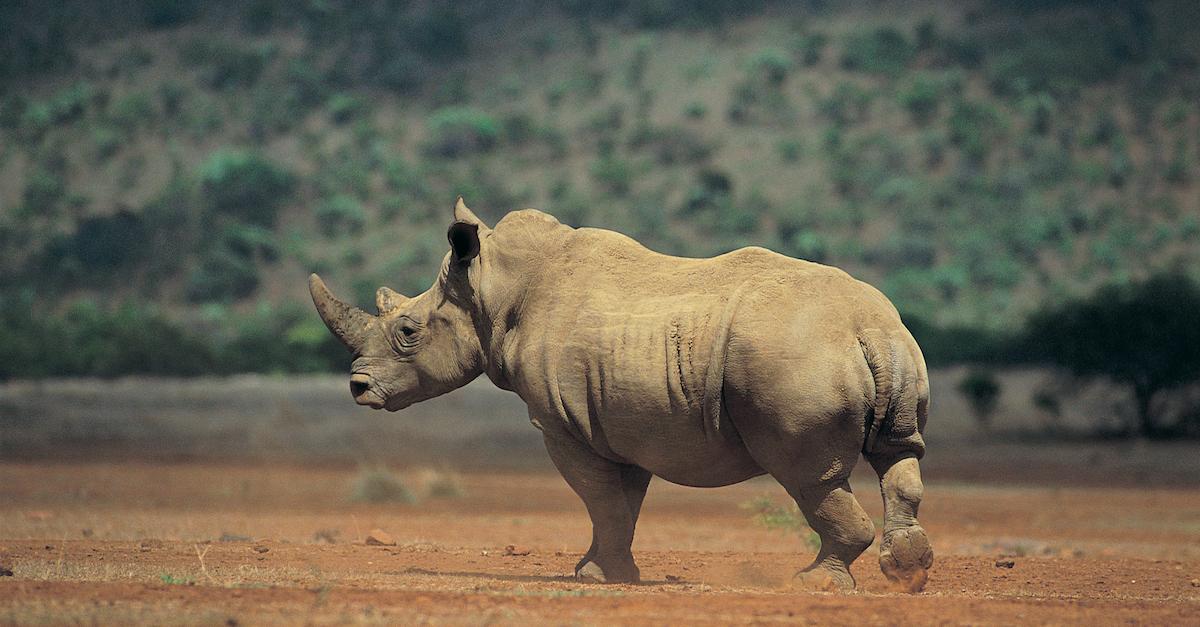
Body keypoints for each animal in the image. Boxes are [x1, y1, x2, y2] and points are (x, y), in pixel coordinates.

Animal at [309, 198, 933, 591]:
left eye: (407, 331)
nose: (359, 388)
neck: (492, 290)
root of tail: (870, 328)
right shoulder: (620, 417)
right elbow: (623, 500)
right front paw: (613, 573)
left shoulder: (563, 423)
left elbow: (600, 497)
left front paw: (590, 576)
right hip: (895, 352)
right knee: (898, 455)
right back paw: (907, 573)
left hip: (793, 360)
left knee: (808, 476)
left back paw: (814, 584)